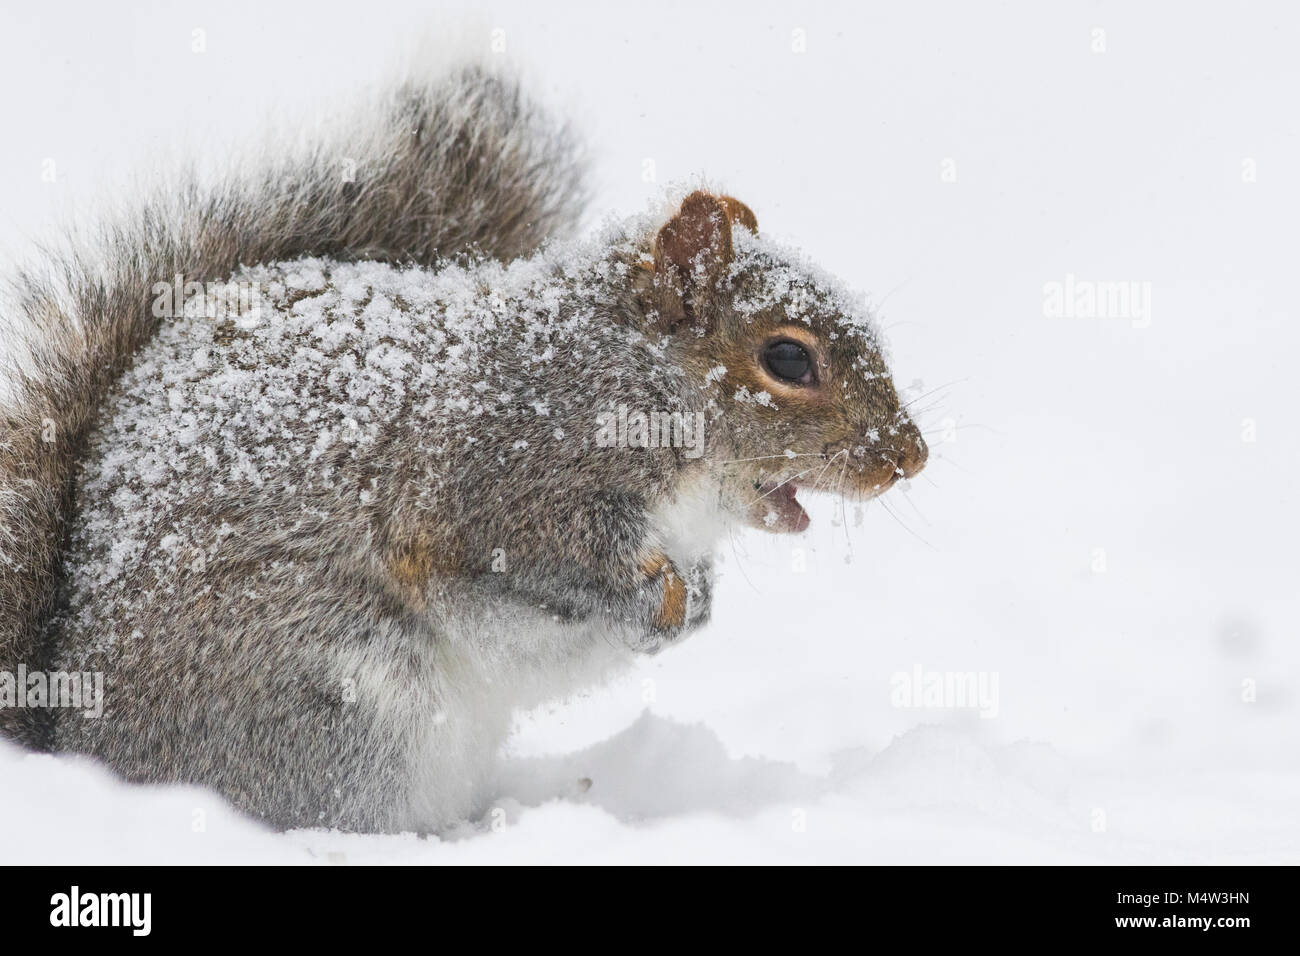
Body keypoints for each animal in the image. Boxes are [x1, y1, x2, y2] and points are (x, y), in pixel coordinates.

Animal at [0, 64, 927, 832]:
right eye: (787, 359)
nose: (908, 457)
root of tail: (86, 752)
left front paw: (695, 598)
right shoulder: (501, 473)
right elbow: (535, 555)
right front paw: (653, 591)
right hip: (346, 713)